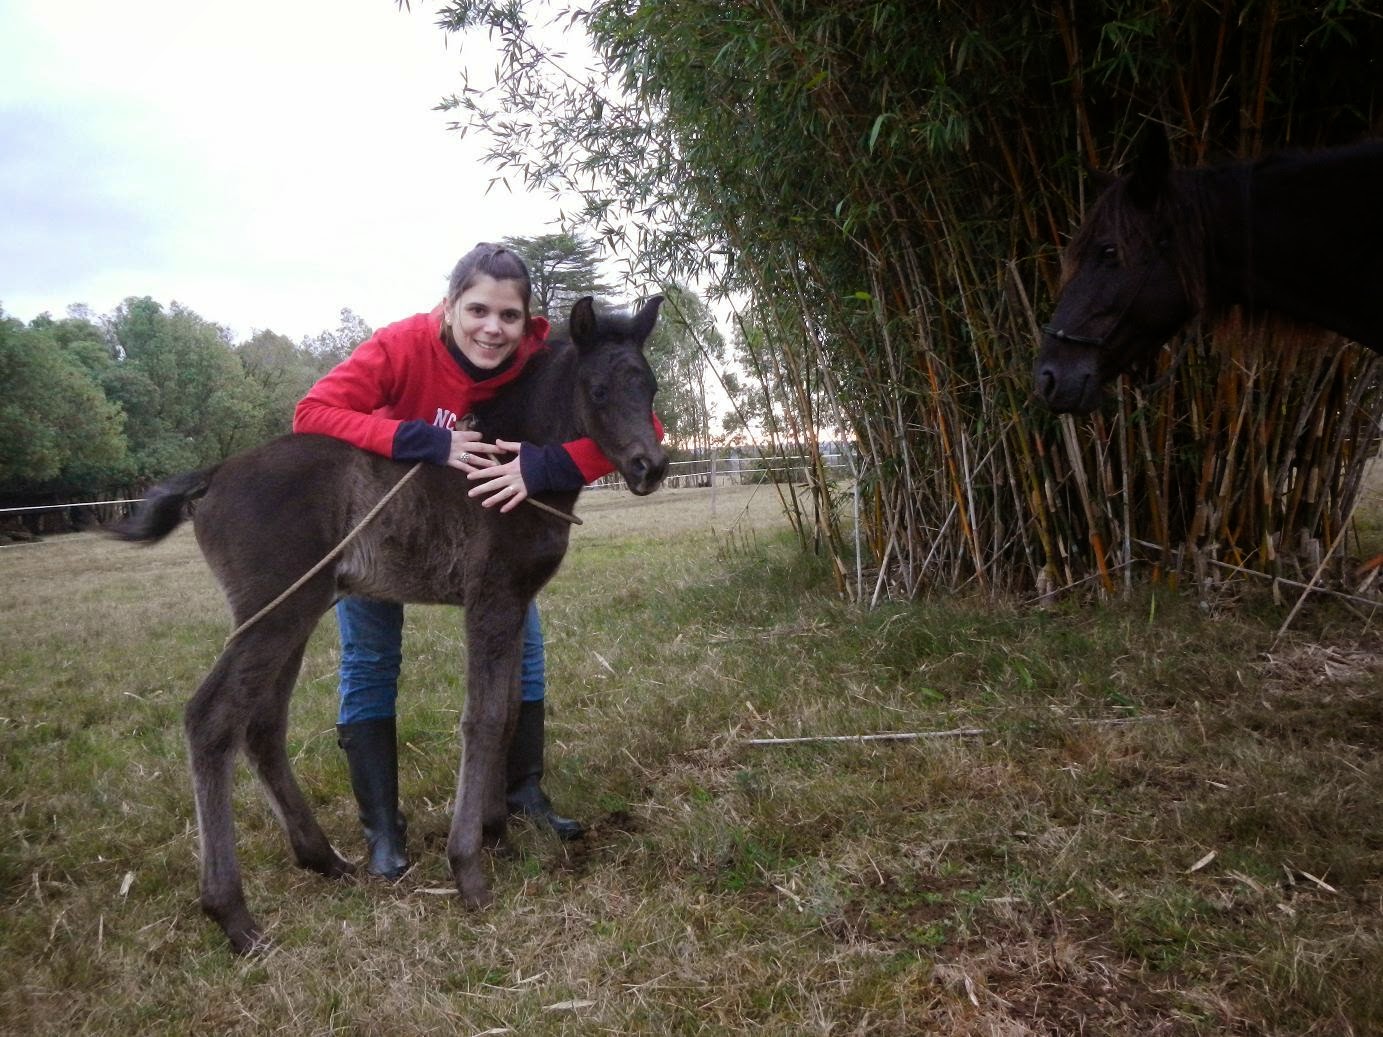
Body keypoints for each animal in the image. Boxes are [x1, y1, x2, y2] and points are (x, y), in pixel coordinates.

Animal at [109, 296, 668, 954]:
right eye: (599, 389)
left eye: (651, 386)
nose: (651, 465)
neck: (511, 467)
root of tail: (215, 473)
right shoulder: (490, 600)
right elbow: (482, 720)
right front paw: (468, 870)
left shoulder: (515, 602)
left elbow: (508, 713)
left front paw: (497, 833)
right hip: (274, 612)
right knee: (211, 720)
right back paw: (234, 915)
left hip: (295, 613)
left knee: (262, 725)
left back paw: (323, 859)